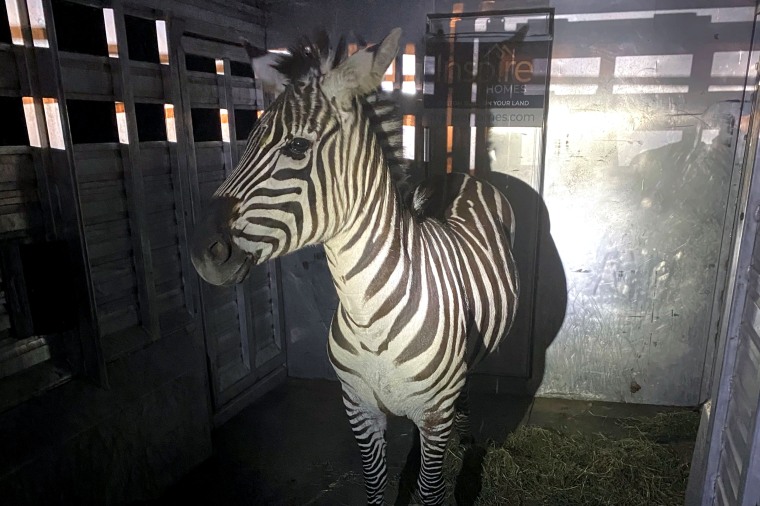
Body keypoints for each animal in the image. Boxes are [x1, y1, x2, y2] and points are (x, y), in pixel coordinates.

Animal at [190, 28, 519, 505]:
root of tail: (457, 175)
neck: (369, 317)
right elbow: (376, 487)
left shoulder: (434, 413)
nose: (202, 252)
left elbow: (430, 493)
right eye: (248, 140)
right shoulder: (358, 408)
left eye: (296, 146)